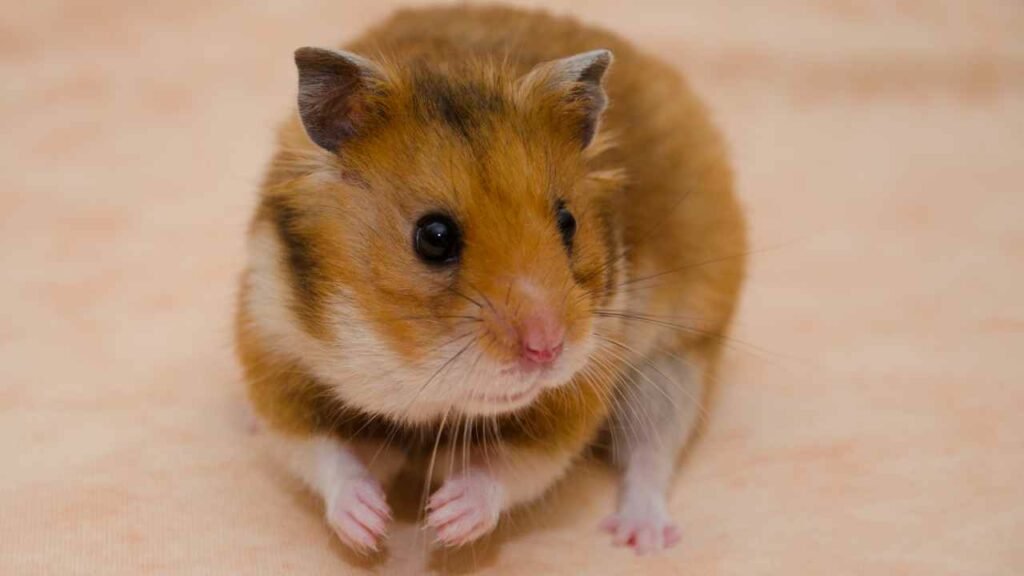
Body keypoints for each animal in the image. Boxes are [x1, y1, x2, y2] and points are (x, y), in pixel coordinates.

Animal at [235, 5, 745, 556]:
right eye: (433, 237)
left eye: (568, 222)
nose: (548, 349)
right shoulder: (275, 350)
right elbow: (323, 454)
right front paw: (371, 527)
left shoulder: (575, 395)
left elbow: (510, 468)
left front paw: (445, 519)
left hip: (674, 361)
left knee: (652, 451)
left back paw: (643, 539)